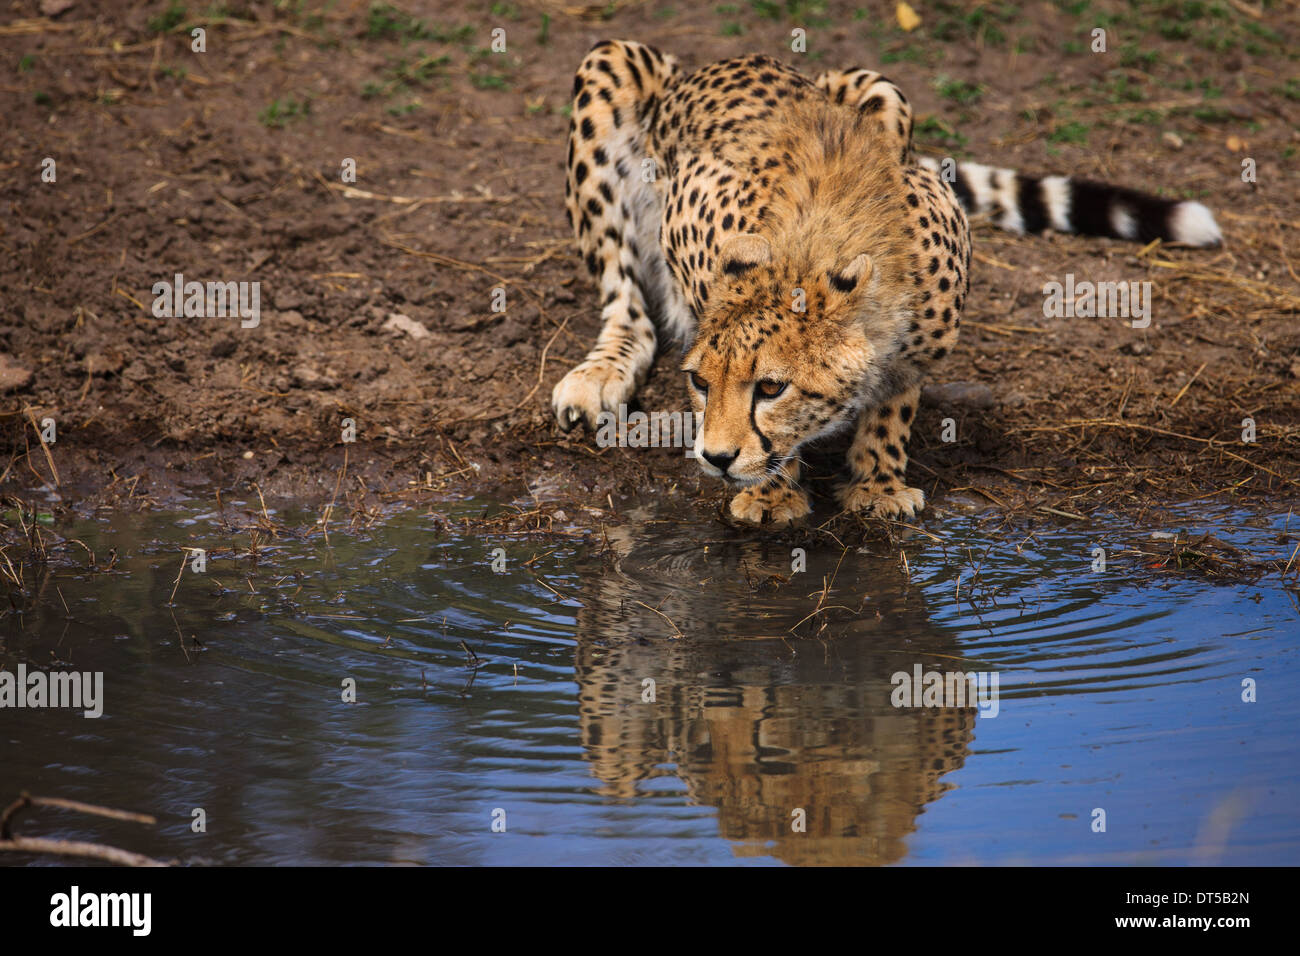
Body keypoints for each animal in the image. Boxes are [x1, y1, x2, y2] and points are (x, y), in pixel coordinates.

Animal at [552, 40, 1222, 527]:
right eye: (698, 382)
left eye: (770, 387)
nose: (715, 459)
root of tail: (718, 63)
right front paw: (772, 493)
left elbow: (896, 399)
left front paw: (877, 482)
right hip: (611, 62)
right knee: (624, 301)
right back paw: (601, 373)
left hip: (881, 88)